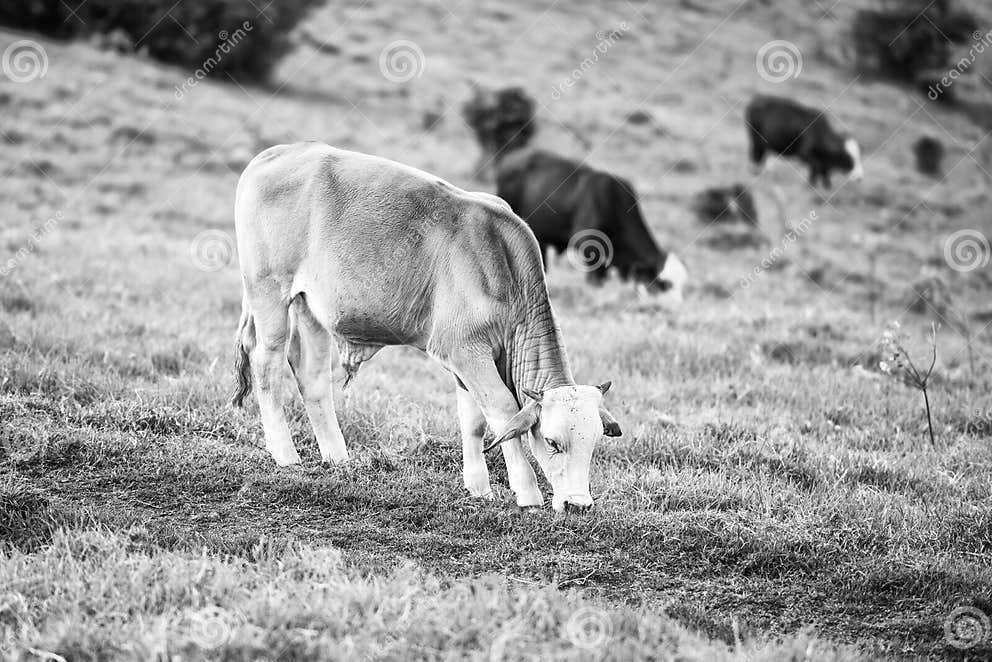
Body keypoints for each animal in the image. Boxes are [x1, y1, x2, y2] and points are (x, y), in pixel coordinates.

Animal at [232, 142, 623, 512]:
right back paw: (285, 454)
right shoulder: (465, 351)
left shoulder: (466, 360)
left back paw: (338, 458)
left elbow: (474, 422)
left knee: (311, 377)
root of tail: (278, 152)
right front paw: (526, 492)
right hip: (269, 295)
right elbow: (502, 412)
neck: (503, 264)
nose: (578, 505)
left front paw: (479, 488)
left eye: (594, 443)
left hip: (310, 308)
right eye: (553, 441)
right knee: (267, 365)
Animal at [495, 149, 688, 309]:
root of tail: (510, 158)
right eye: (664, 285)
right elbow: (595, 281)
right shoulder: (589, 245)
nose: (677, 307)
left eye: (682, 284)